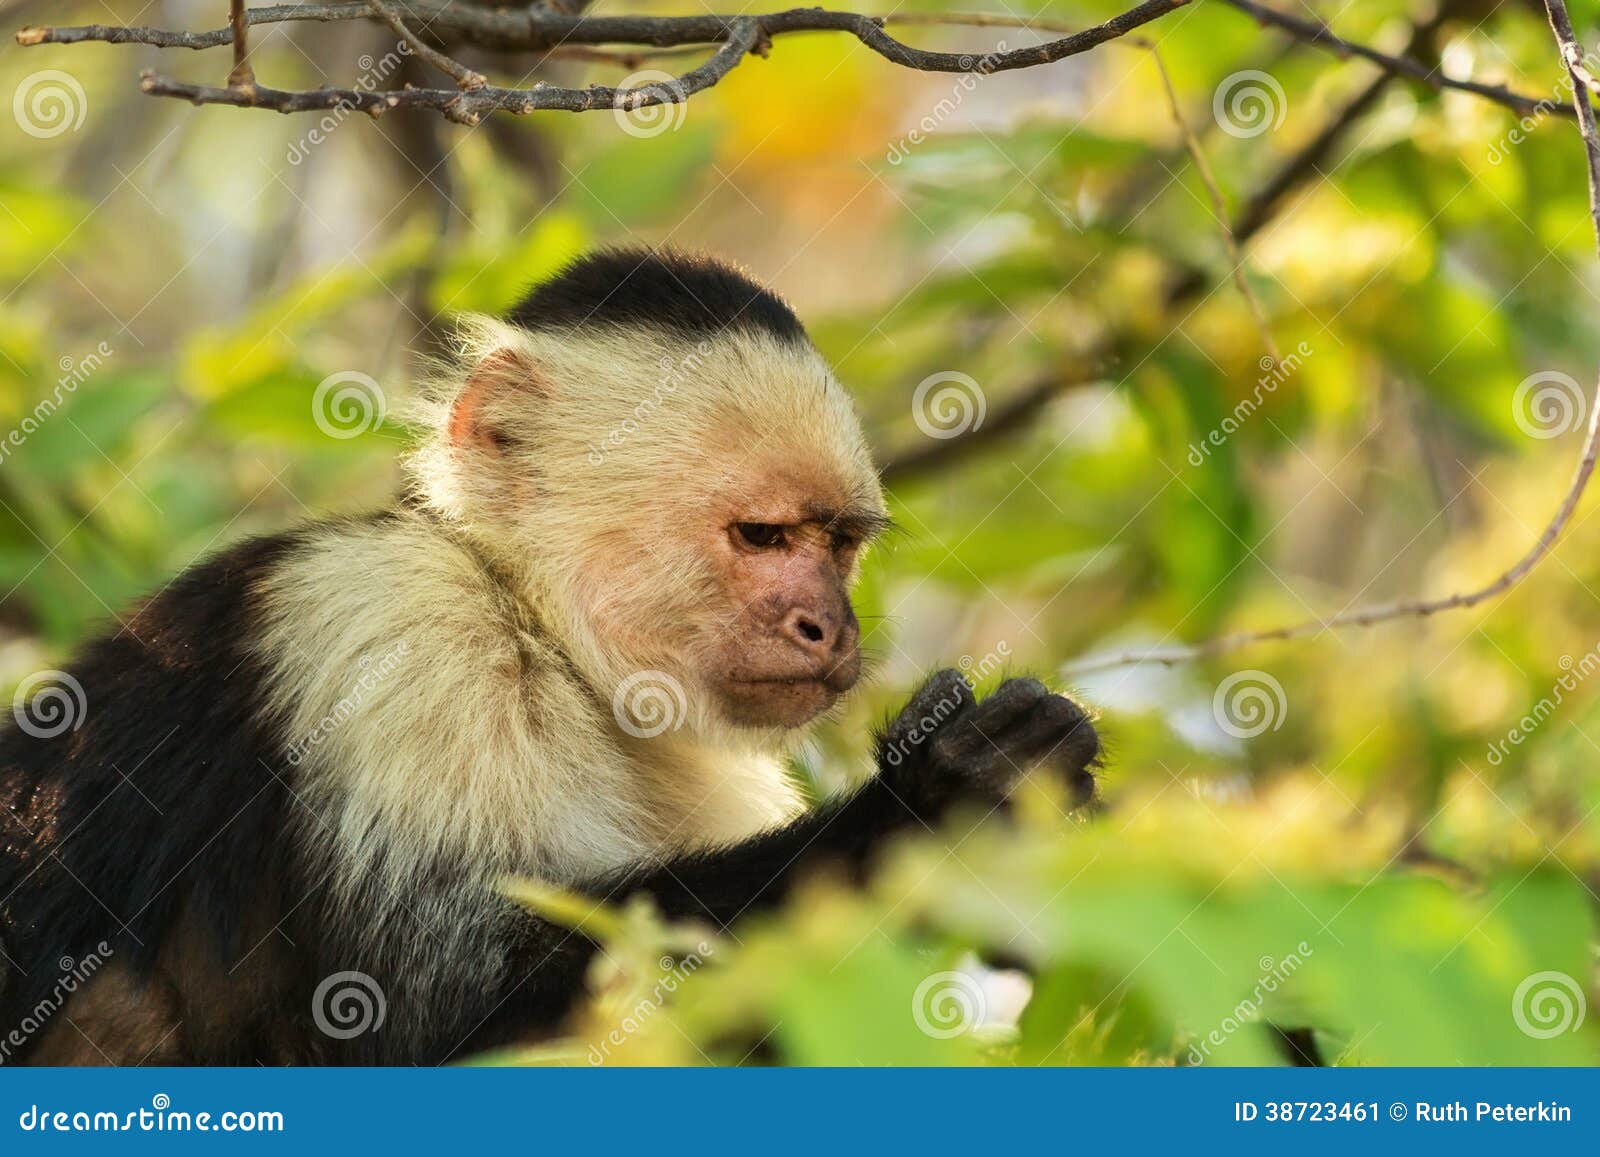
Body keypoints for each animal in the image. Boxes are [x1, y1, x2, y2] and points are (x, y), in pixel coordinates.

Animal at [0, 248, 1099, 1065]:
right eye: (762, 535)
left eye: (839, 543)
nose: (830, 626)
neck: (540, 637)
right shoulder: (391, 625)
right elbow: (425, 1014)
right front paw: (948, 800)